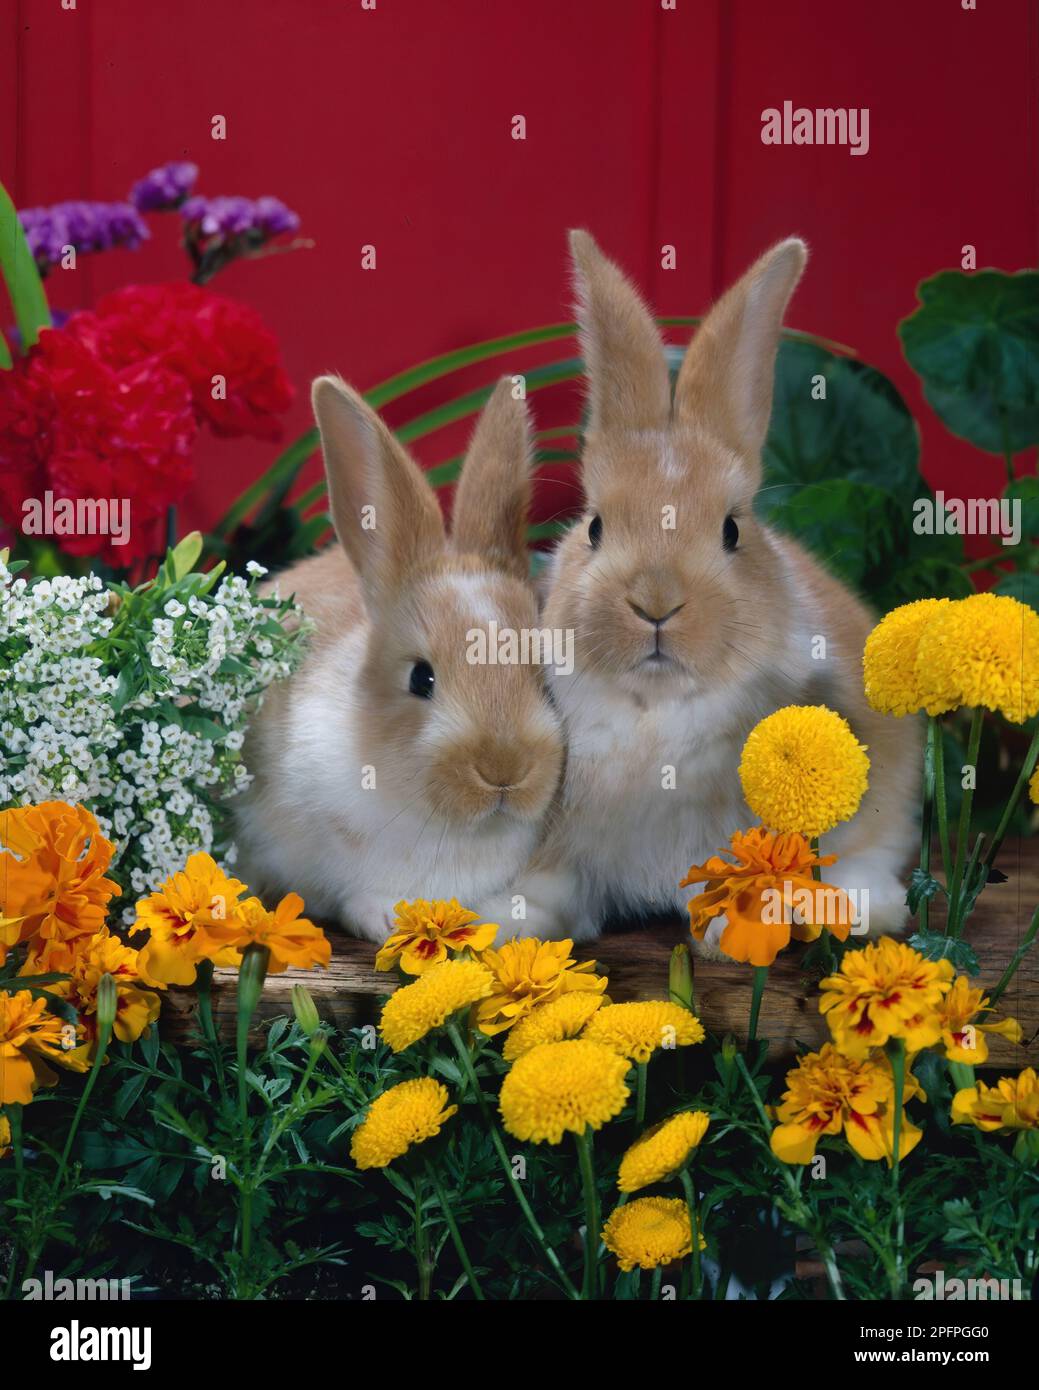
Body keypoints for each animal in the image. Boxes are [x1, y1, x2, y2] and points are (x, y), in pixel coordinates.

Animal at [491, 231, 920, 948]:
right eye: (595, 527)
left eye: (731, 529)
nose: (655, 603)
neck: (656, 717)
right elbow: (554, 890)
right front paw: (506, 924)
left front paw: (729, 933)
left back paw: (868, 907)